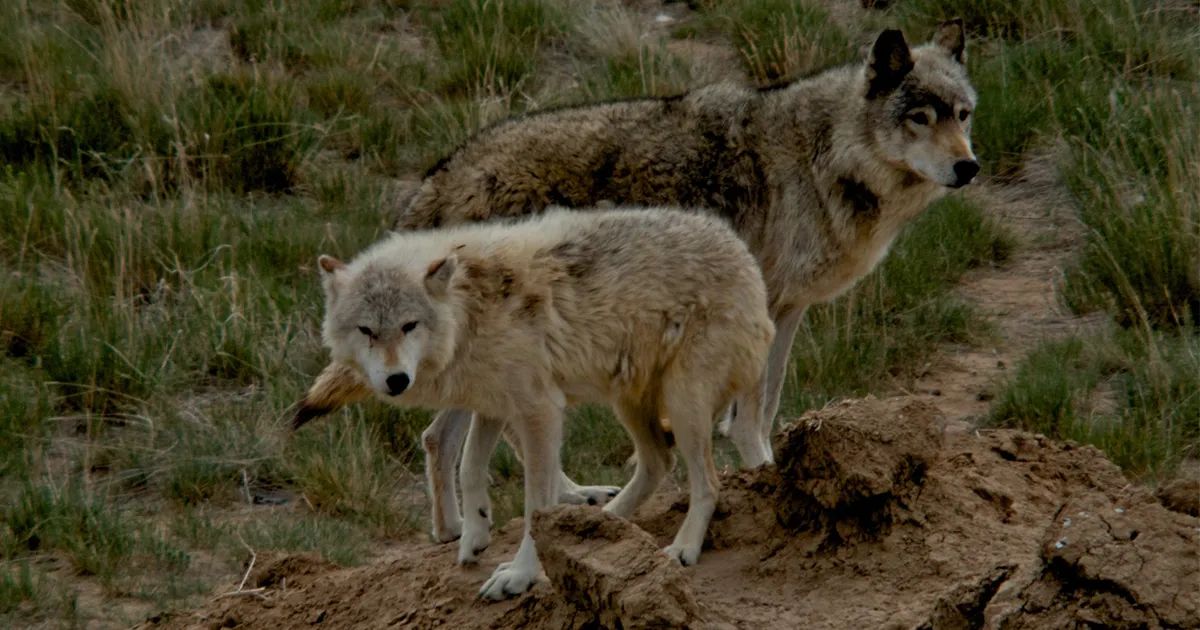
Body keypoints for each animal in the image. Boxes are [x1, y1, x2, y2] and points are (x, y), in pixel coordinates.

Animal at [295, 20, 979, 544]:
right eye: (920, 117)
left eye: (964, 115)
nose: (969, 166)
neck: (822, 158)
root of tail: (437, 176)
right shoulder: (767, 308)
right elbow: (753, 411)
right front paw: (761, 469)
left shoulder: (786, 312)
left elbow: (765, 403)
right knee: (458, 436)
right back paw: (511, 518)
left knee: (441, 437)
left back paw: (474, 526)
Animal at [315, 207, 774, 599]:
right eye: (367, 330)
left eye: (409, 326)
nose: (396, 380)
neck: (470, 309)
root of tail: (745, 255)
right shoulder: (494, 404)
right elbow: (469, 468)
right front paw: (475, 535)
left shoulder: (539, 410)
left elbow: (535, 505)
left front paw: (519, 576)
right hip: (629, 403)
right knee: (659, 462)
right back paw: (603, 519)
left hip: (682, 404)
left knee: (707, 482)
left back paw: (682, 549)